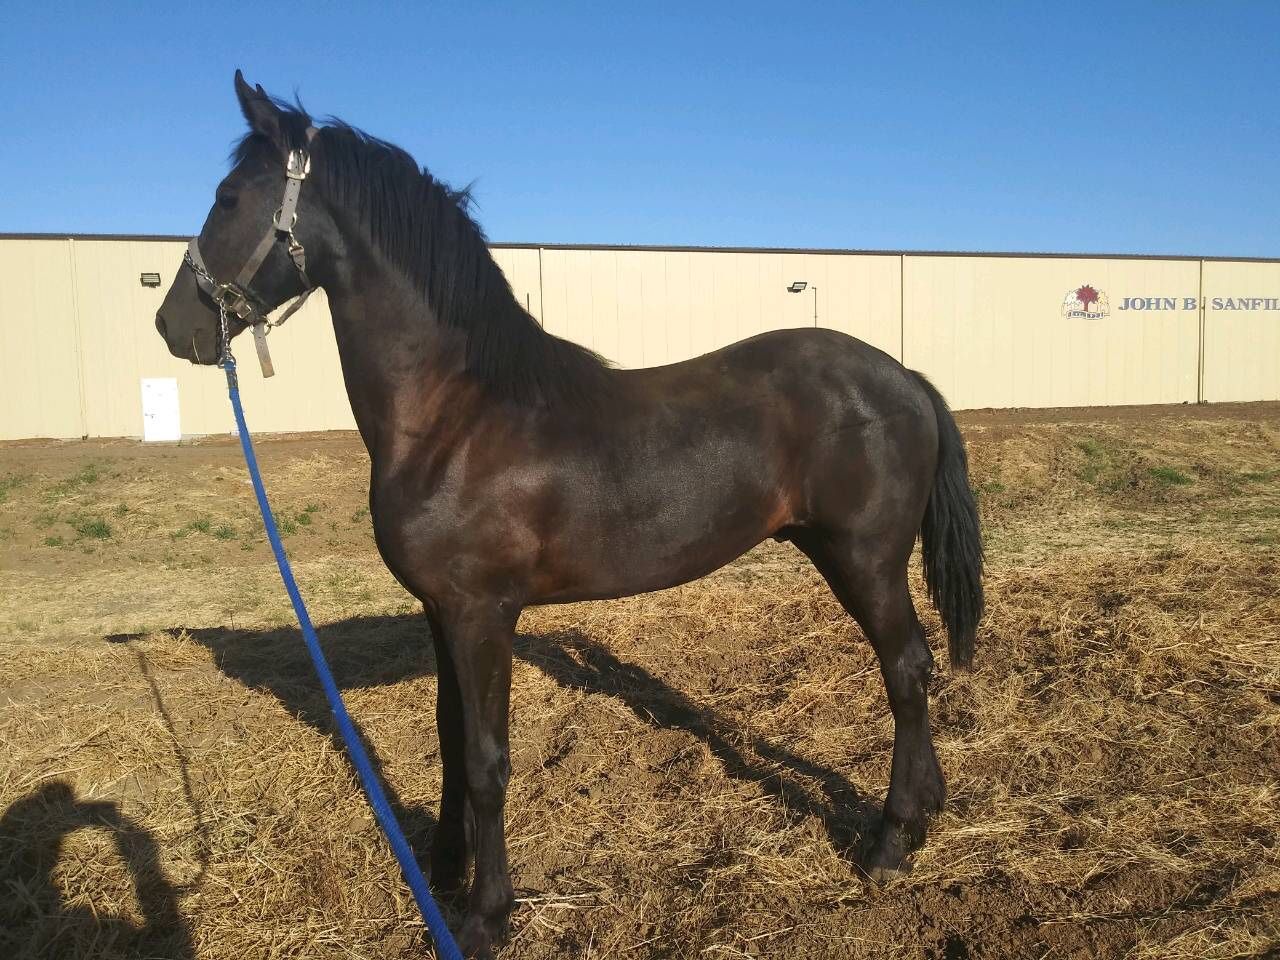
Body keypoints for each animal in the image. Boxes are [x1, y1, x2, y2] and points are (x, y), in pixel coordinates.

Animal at [155, 71, 984, 958]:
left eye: (229, 197)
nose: (173, 325)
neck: (456, 415)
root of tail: (903, 377)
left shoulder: (483, 613)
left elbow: (487, 759)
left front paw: (486, 914)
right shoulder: (442, 612)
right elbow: (450, 738)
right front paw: (443, 871)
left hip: (862, 558)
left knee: (906, 669)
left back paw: (891, 843)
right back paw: (925, 812)